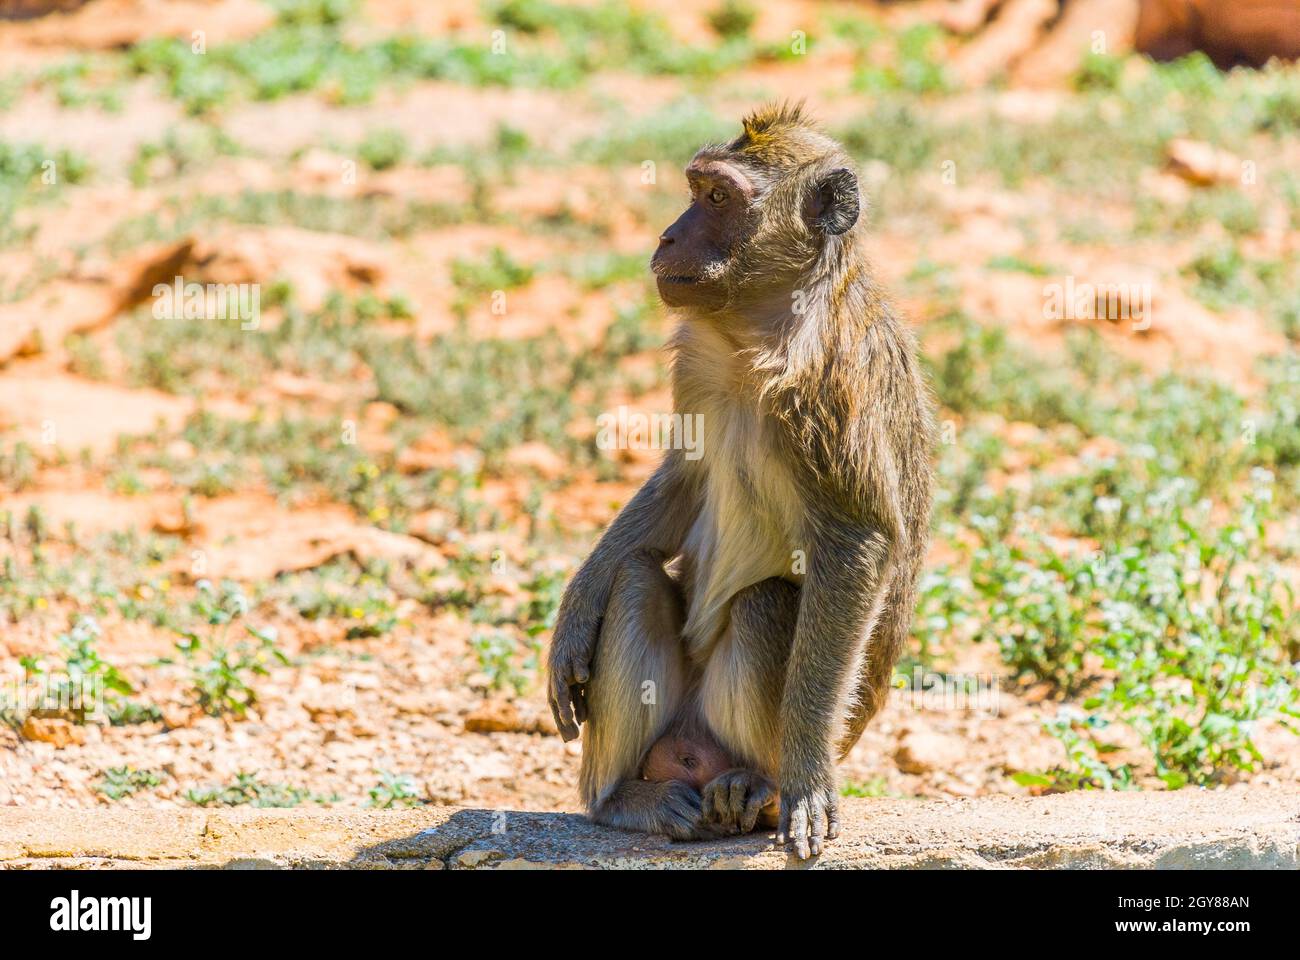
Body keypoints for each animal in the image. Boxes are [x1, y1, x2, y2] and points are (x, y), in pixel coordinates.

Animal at [547, 103, 934, 860]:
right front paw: (573, 615)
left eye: (720, 199)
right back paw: (619, 801)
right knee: (636, 577)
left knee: (766, 602)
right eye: (696, 189)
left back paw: (761, 785)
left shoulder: (827, 381)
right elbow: (685, 477)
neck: (759, 327)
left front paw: (808, 778)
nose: (668, 236)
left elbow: (857, 540)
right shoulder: (698, 356)